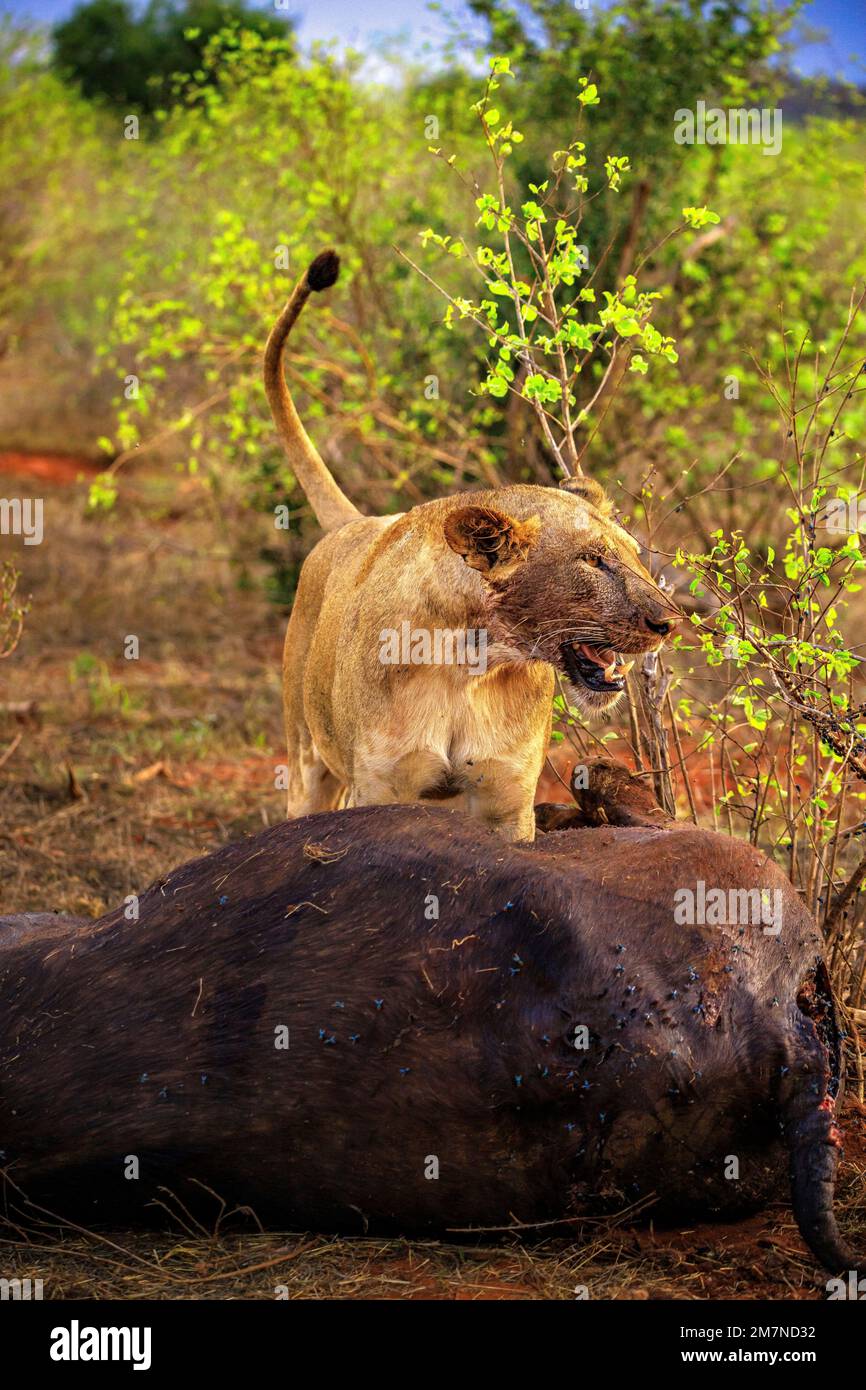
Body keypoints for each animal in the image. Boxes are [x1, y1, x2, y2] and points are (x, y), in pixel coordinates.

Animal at [265, 250, 682, 841]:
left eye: (632, 553)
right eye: (591, 560)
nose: (669, 623)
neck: (471, 661)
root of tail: (355, 521)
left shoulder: (506, 797)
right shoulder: (380, 787)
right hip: (306, 762)